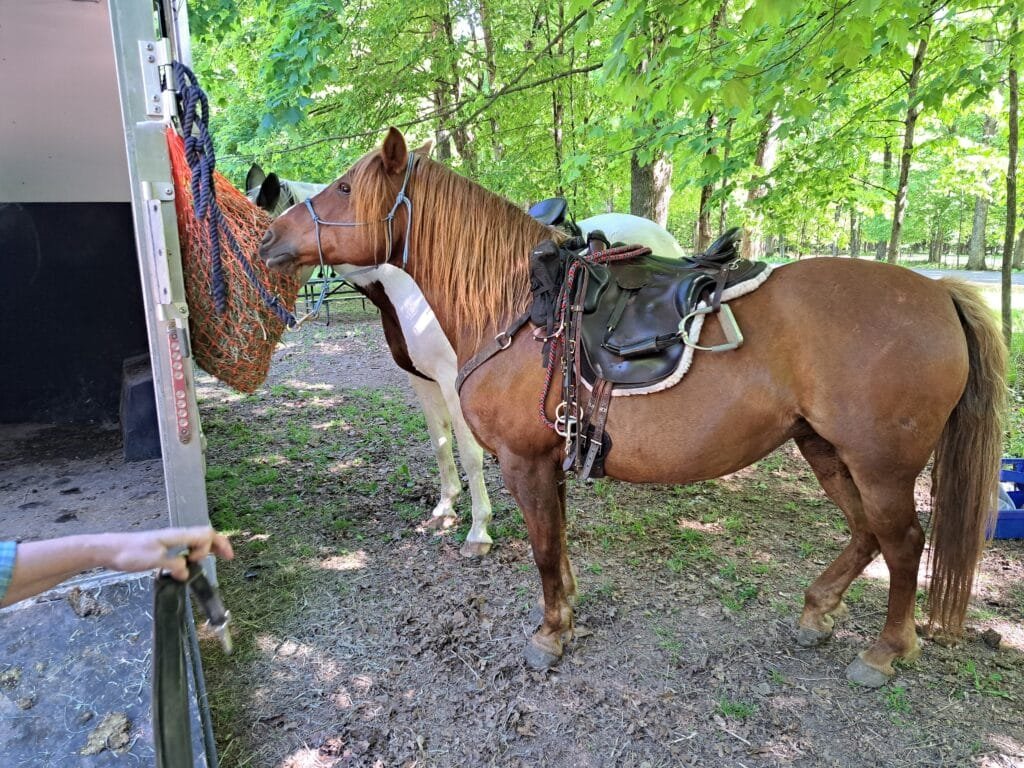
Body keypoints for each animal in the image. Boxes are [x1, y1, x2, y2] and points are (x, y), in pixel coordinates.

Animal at [246, 162, 690, 556]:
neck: (411, 287)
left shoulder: (450, 380)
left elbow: (469, 452)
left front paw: (479, 530)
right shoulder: (422, 380)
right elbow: (441, 442)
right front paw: (444, 510)